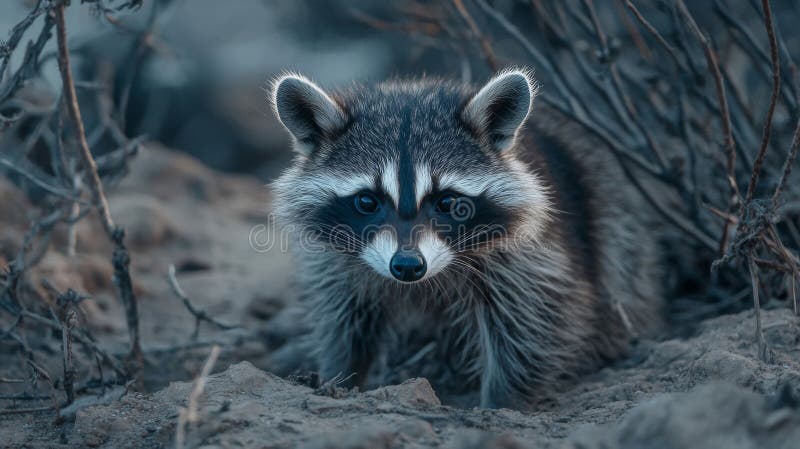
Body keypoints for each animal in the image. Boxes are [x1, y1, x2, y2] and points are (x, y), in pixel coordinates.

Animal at [269, 68, 663, 409]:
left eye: (447, 202)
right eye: (367, 201)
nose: (407, 265)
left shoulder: (529, 253)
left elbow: (535, 317)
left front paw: (503, 401)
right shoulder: (339, 260)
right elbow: (345, 317)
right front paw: (341, 376)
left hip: (611, 213)